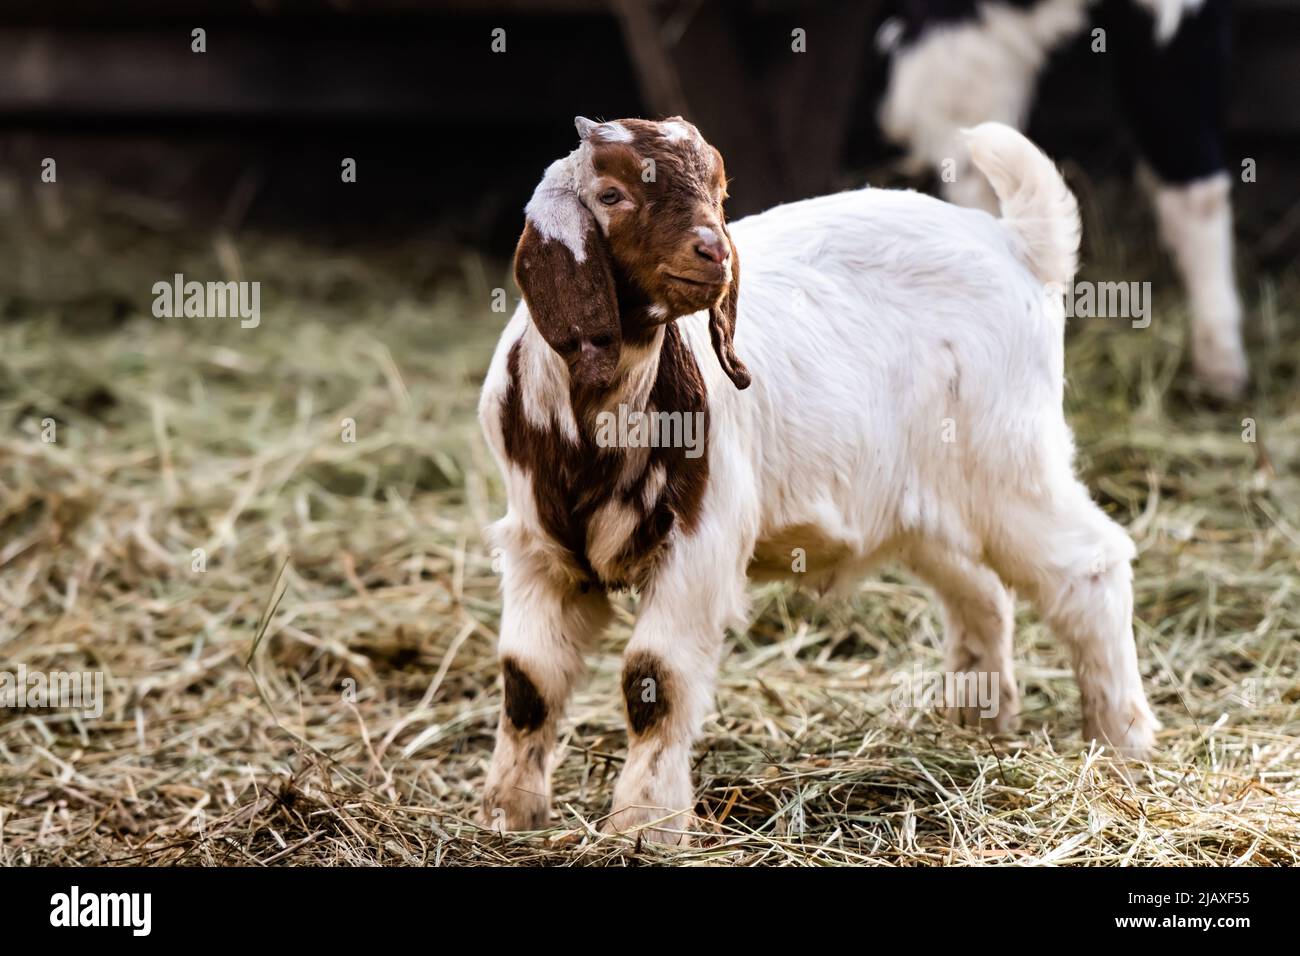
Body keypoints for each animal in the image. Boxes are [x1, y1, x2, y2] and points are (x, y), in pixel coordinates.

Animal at [478, 115, 1159, 844]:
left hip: (1012, 459)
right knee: (979, 588)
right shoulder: (538, 550)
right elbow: (527, 683)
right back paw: (975, 721)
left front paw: (645, 824)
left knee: (1090, 565)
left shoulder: (700, 543)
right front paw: (508, 811)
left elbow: (652, 681)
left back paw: (1122, 737)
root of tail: (1015, 244)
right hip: (924, 495)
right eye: (610, 194)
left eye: (719, 190)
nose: (714, 253)